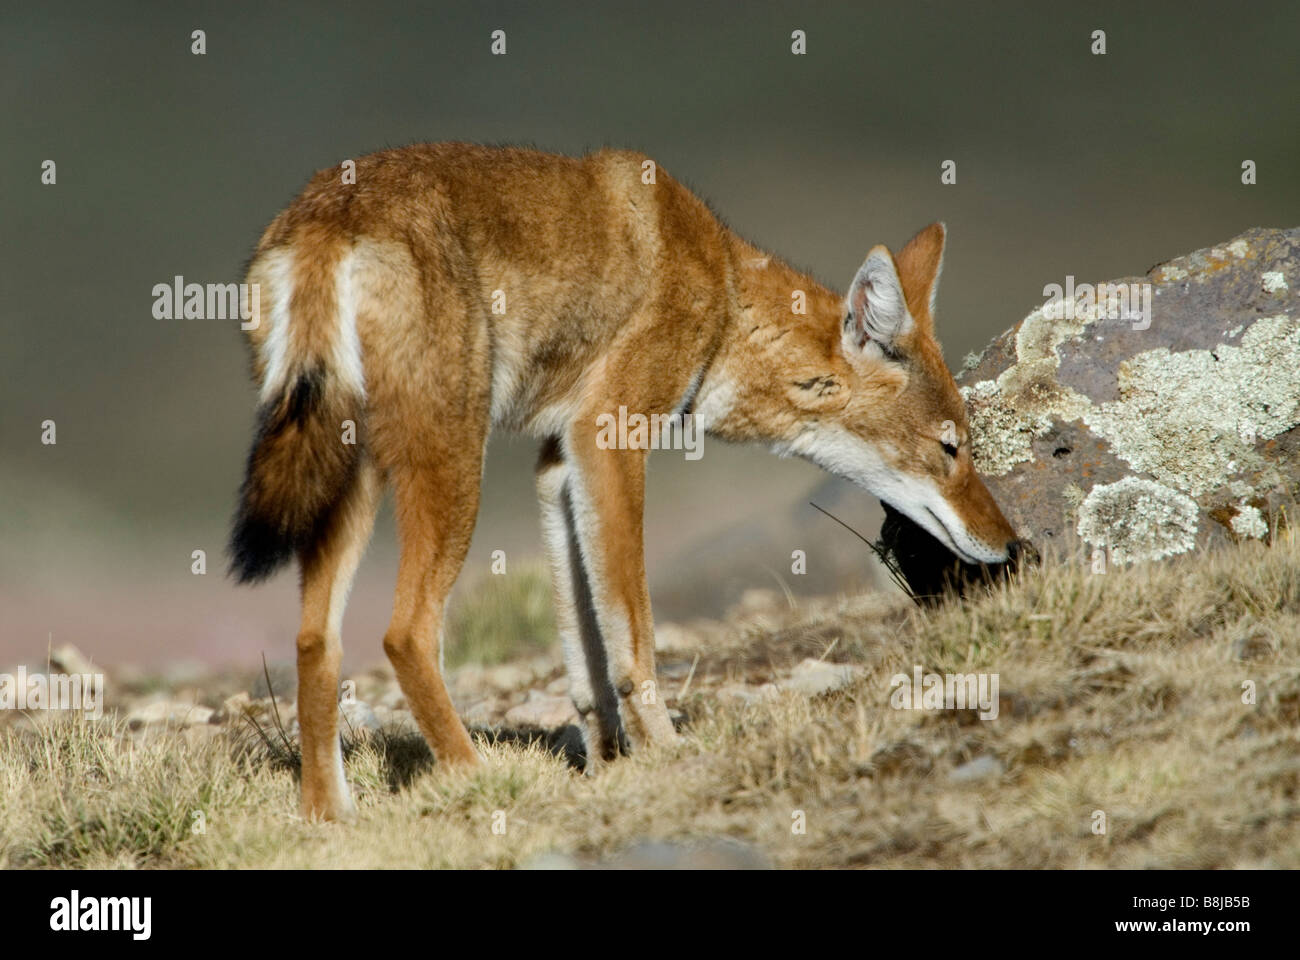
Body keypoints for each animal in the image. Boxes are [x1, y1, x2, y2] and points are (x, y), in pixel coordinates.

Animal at [229, 142, 1021, 822]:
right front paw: (667, 752)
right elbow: (634, 638)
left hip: (349, 484)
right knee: (405, 635)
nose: (1011, 546)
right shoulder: (609, 438)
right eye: (951, 449)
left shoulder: (558, 464)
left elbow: (586, 651)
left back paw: (328, 818)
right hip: (449, 473)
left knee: (315, 643)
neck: (723, 297)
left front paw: (610, 760)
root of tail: (329, 215)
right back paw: (481, 782)